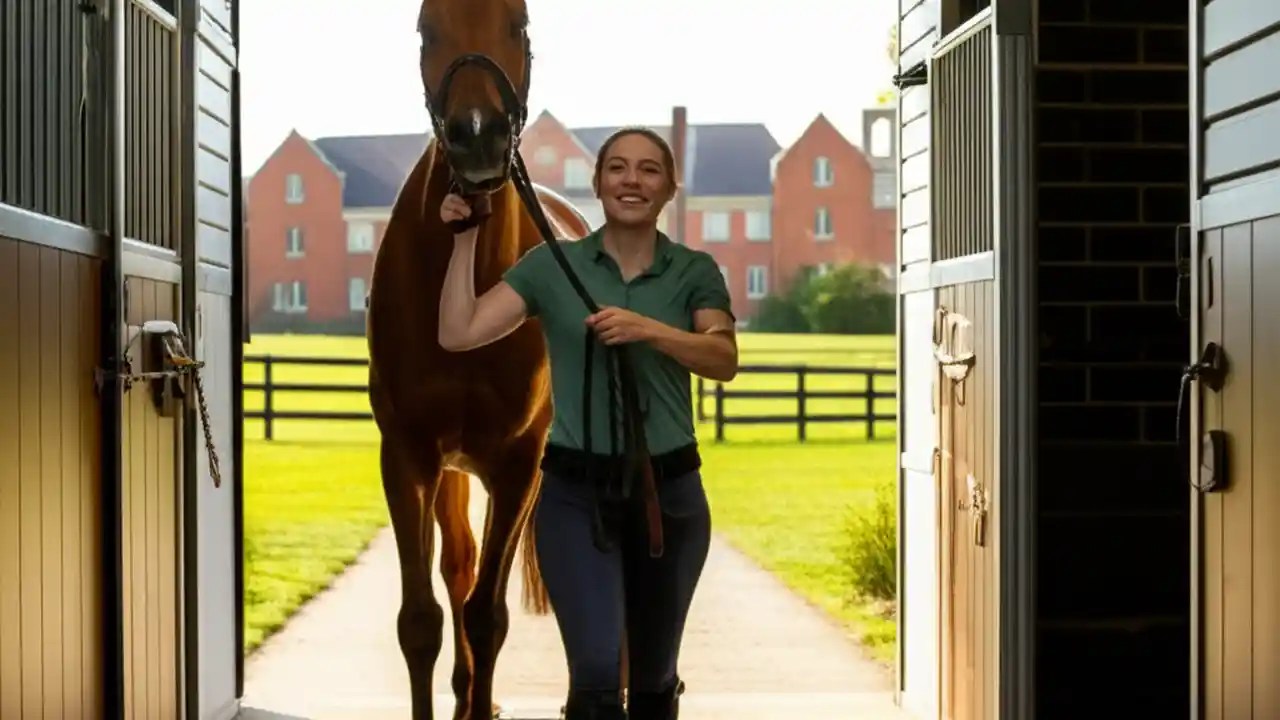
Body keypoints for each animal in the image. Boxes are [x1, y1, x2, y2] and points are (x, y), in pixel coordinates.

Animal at [365, 1, 592, 717]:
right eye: (424, 28)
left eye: (519, 24)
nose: (477, 137)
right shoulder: (410, 455)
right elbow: (423, 620)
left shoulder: (519, 465)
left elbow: (488, 618)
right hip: (454, 473)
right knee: (460, 567)